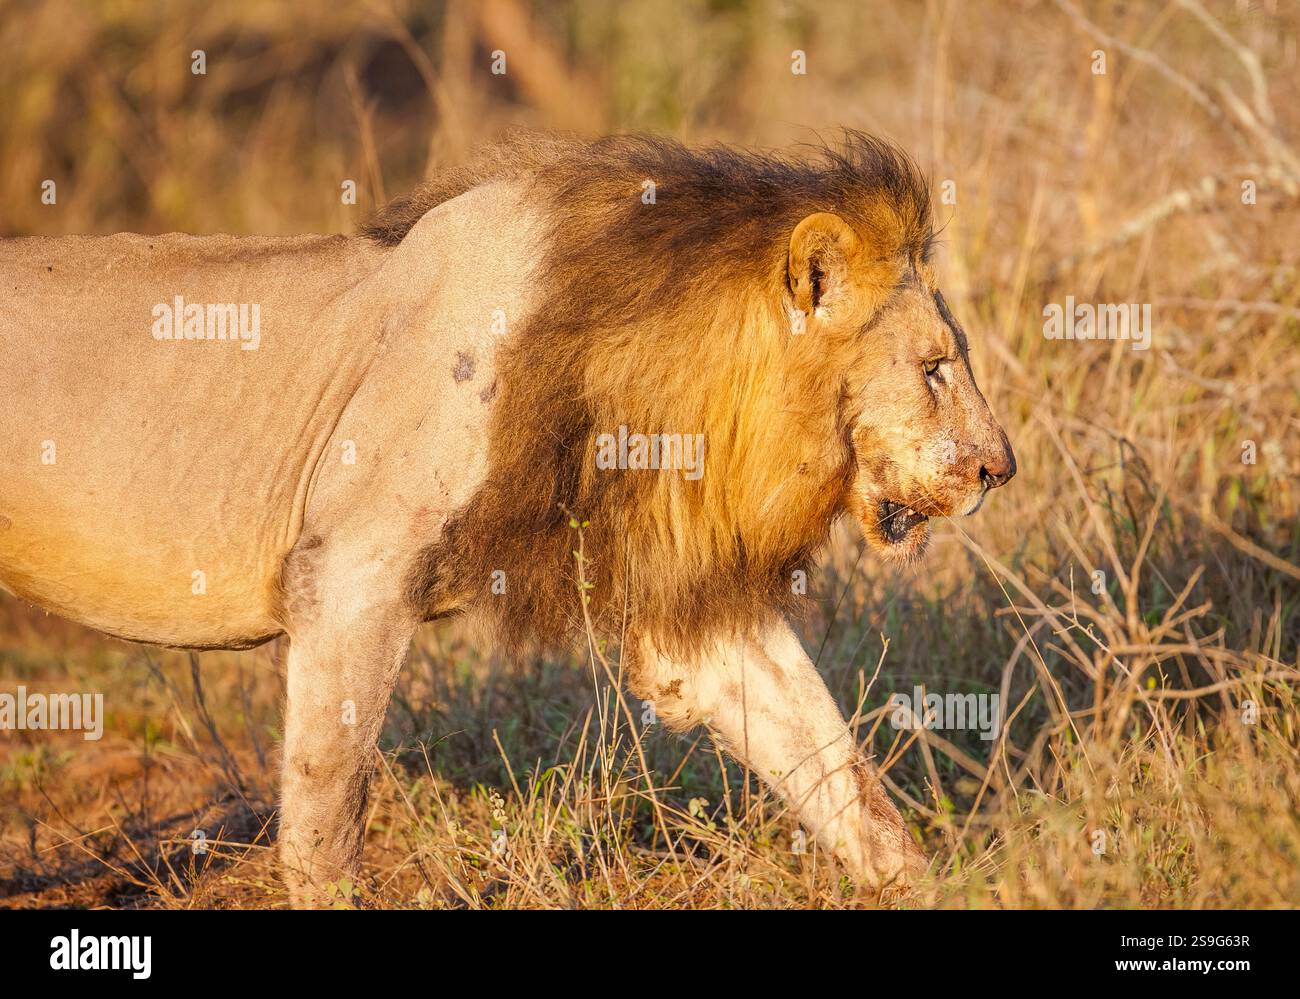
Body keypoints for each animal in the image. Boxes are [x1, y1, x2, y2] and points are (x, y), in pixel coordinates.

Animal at [0, 131, 1014, 906]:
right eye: (933, 367)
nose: (1000, 469)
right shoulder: (349, 574)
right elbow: (328, 806)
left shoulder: (685, 604)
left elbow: (830, 754)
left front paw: (939, 885)